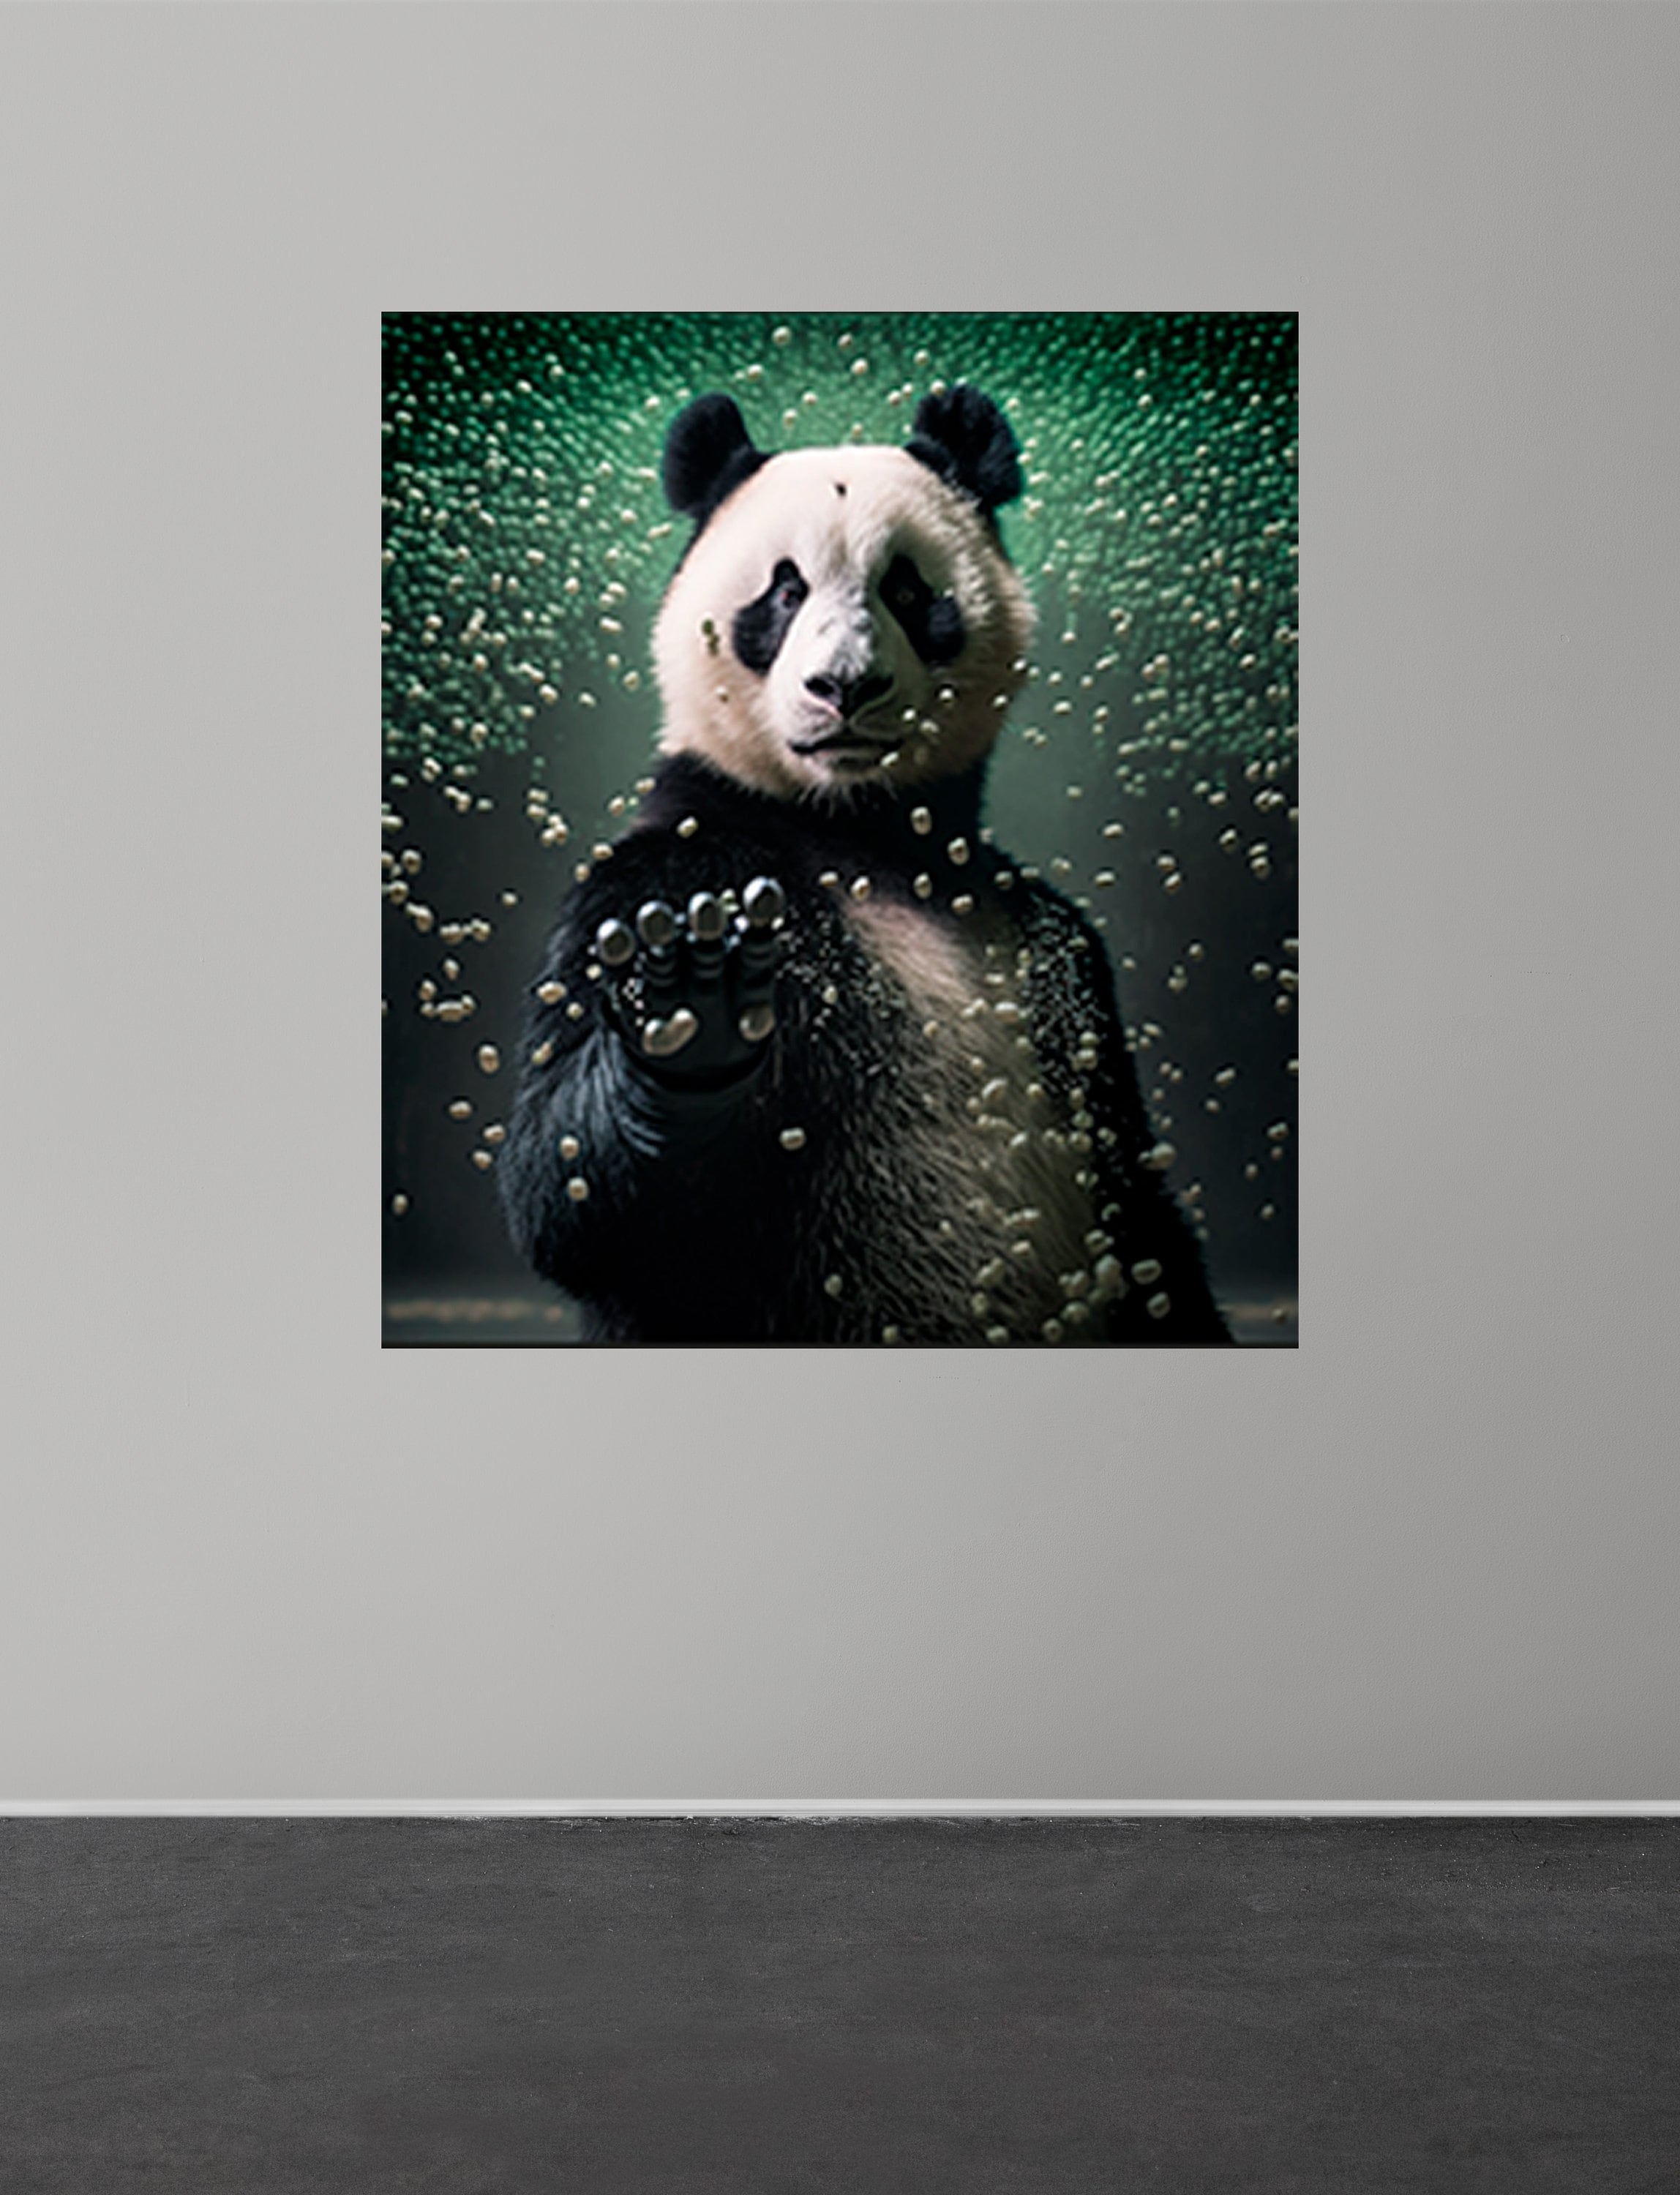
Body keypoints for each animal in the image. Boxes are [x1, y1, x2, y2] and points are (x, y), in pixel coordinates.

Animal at [499, 386, 1231, 1346]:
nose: (845, 686)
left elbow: (1139, 1205)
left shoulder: (1062, 962)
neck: (860, 835)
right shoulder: (653, 875)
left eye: (908, 589)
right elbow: (569, 1193)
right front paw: (692, 1010)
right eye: (784, 592)